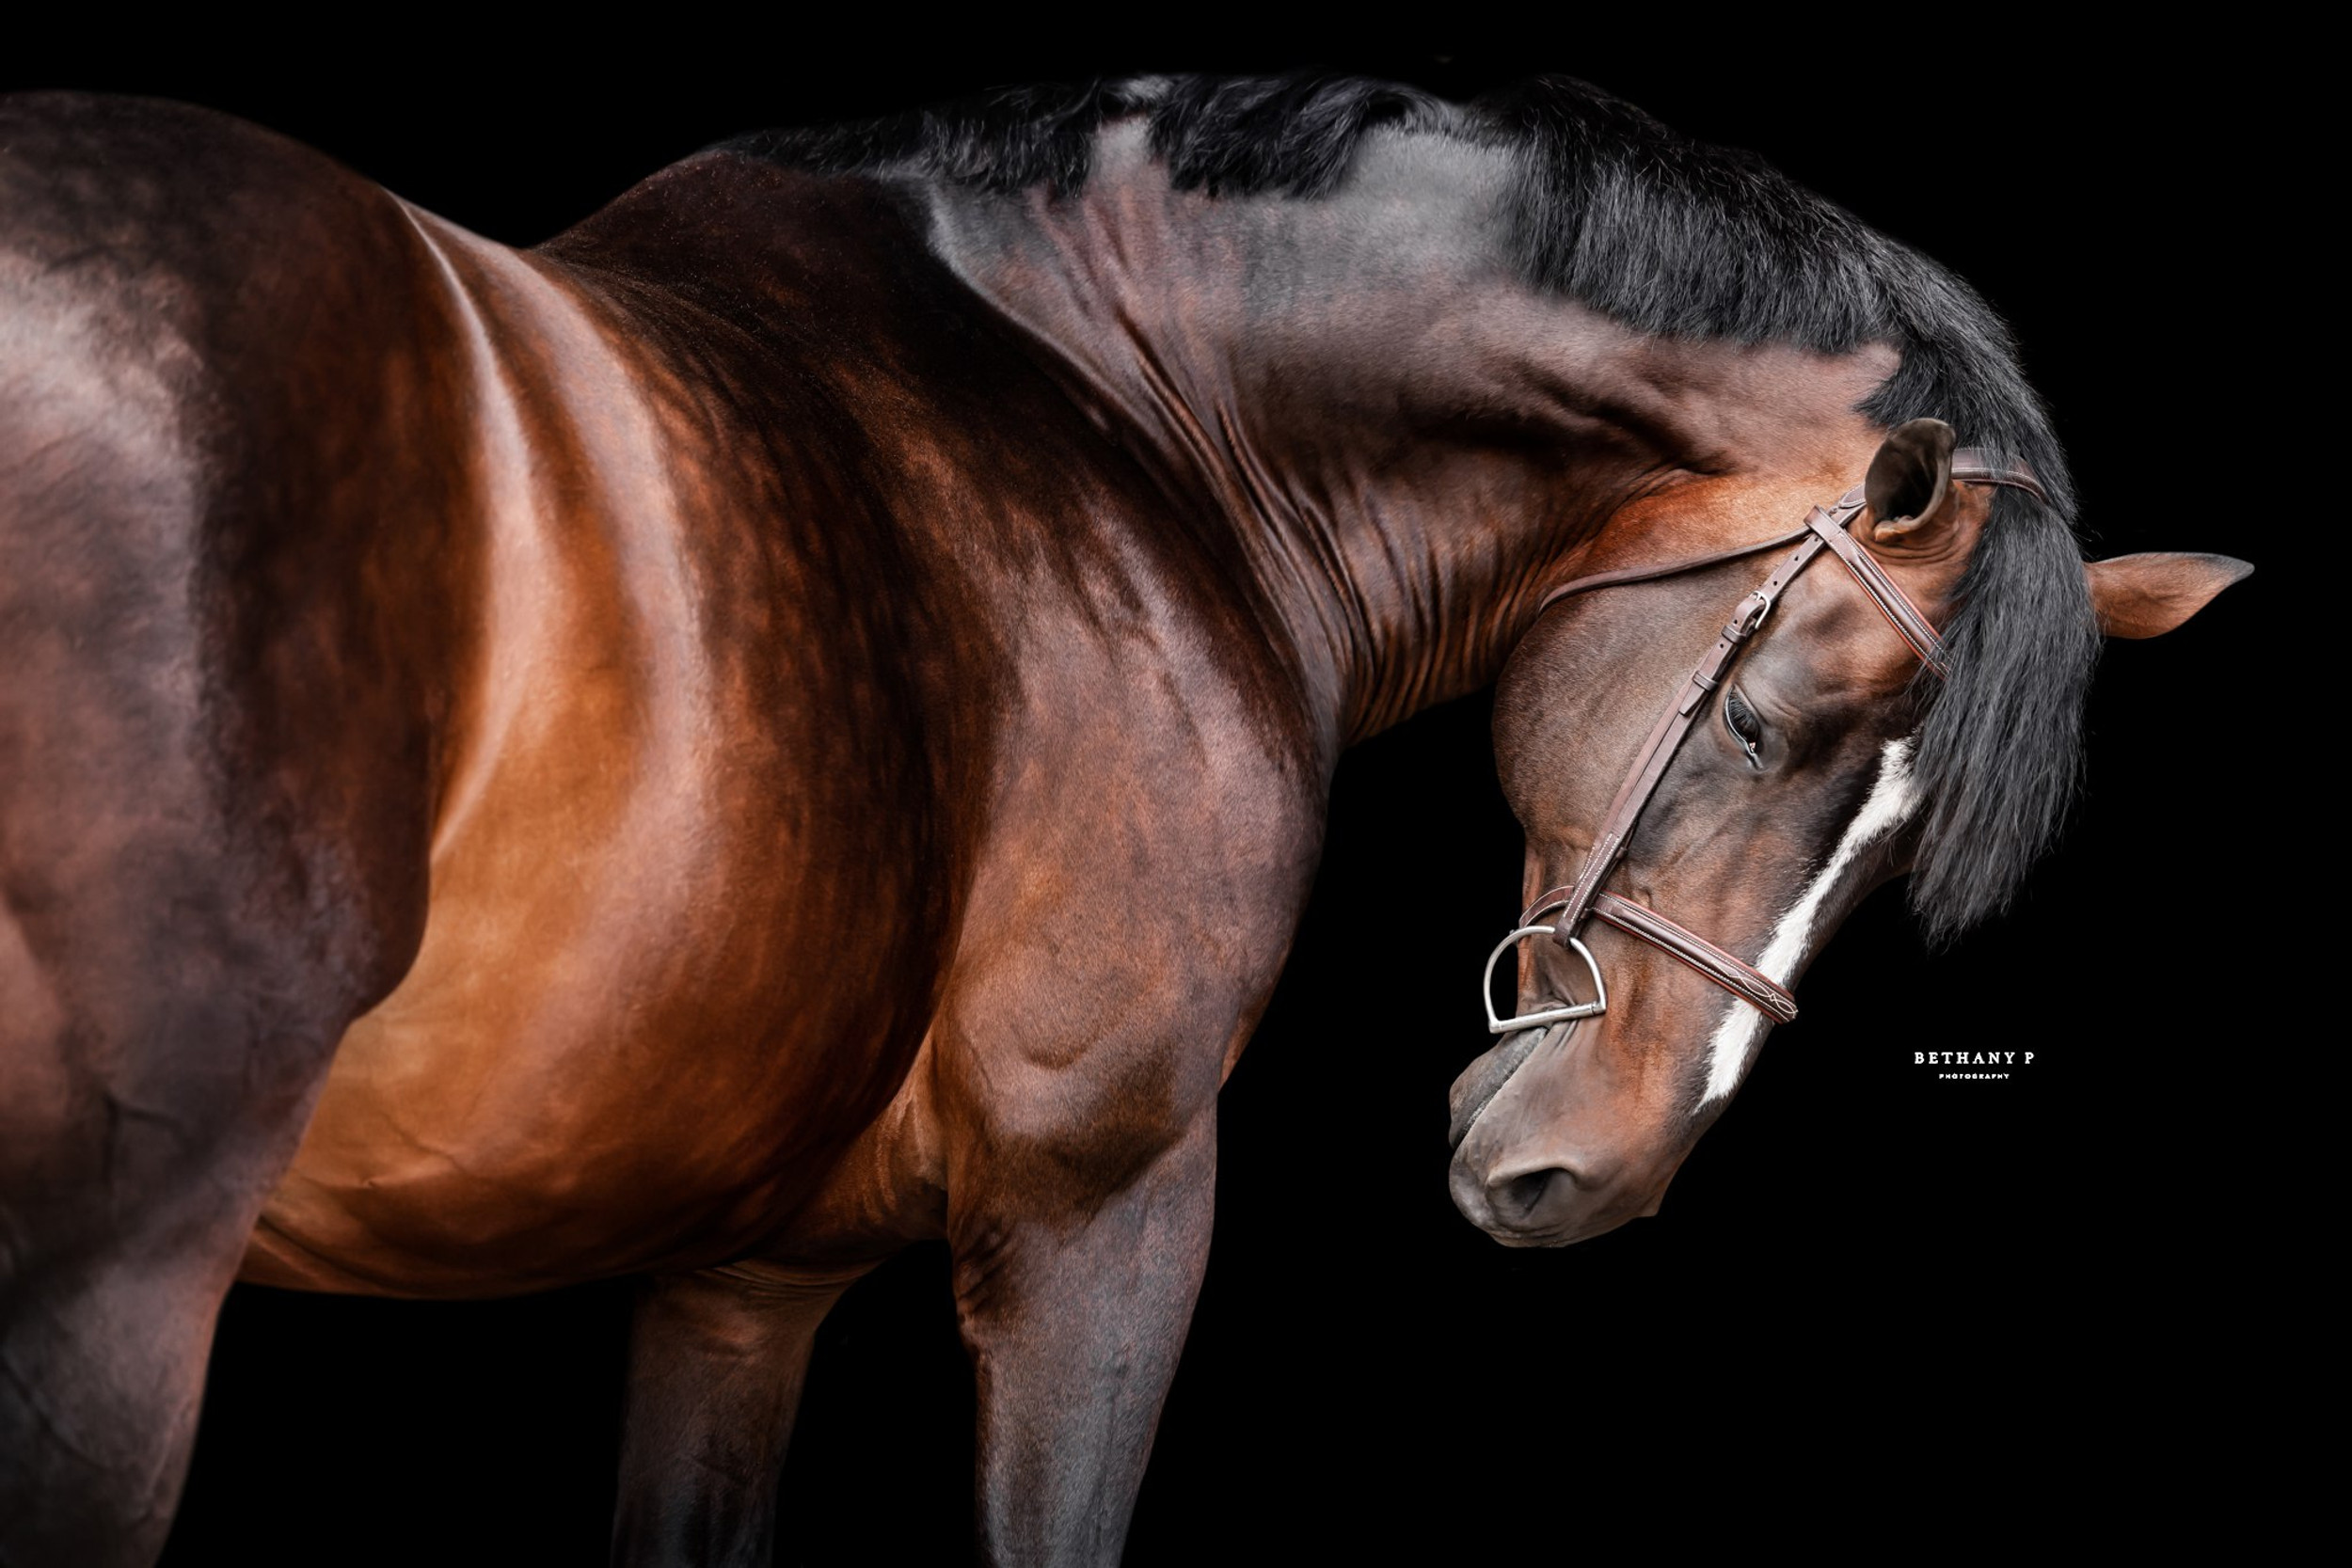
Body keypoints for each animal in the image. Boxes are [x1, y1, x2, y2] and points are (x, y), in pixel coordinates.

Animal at [0, 71, 2246, 1566]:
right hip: (112, 1281)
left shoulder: (735, 1281)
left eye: (1895, 860)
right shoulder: (1104, 1210)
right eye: (1767, 725)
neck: (1142, 407)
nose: (1585, 1173)